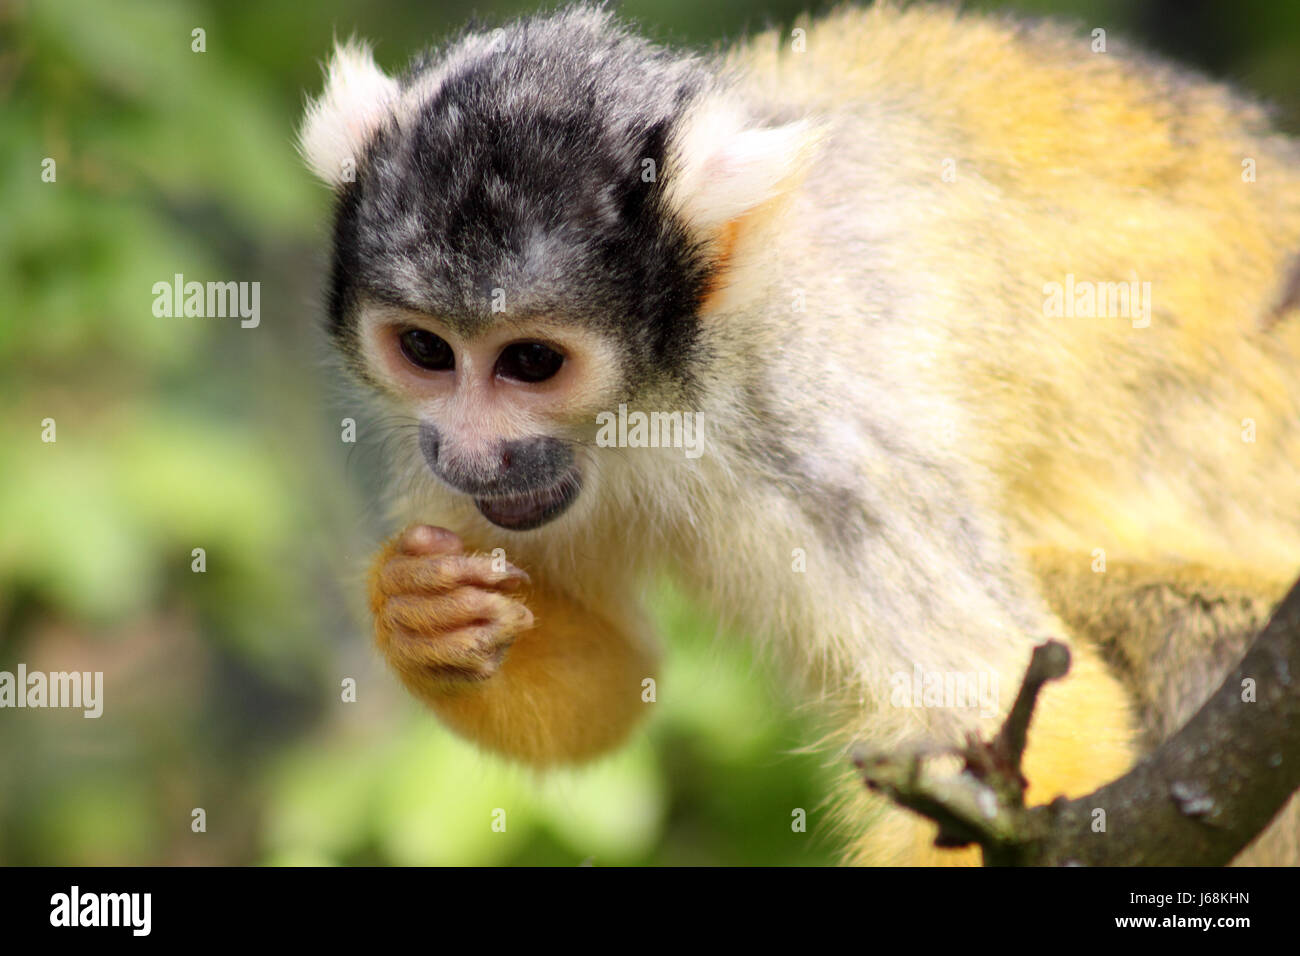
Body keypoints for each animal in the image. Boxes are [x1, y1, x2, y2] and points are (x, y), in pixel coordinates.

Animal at [299, 2, 1300, 864]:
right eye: (427, 349)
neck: (675, 395)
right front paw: (424, 616)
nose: (471, 454)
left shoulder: (830, 416)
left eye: (532, 362)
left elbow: (1015, 706)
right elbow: (614, 686)